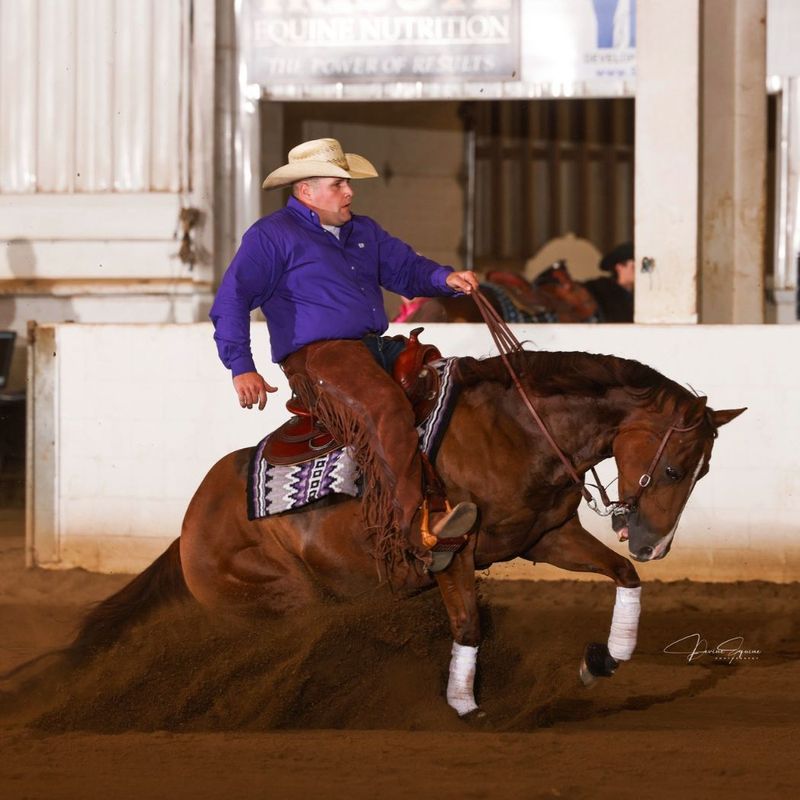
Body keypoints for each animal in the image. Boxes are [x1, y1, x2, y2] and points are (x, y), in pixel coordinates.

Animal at [69, 349, 743, 718]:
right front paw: (465, 705)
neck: (518, 430)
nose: (655, 544)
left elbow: (622, 575)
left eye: (705, 471)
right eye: (676, 467)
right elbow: (467, 625)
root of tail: (189, 529)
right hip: (282, 602)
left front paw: (604, 658)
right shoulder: (453, 553)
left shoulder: (544, 538)